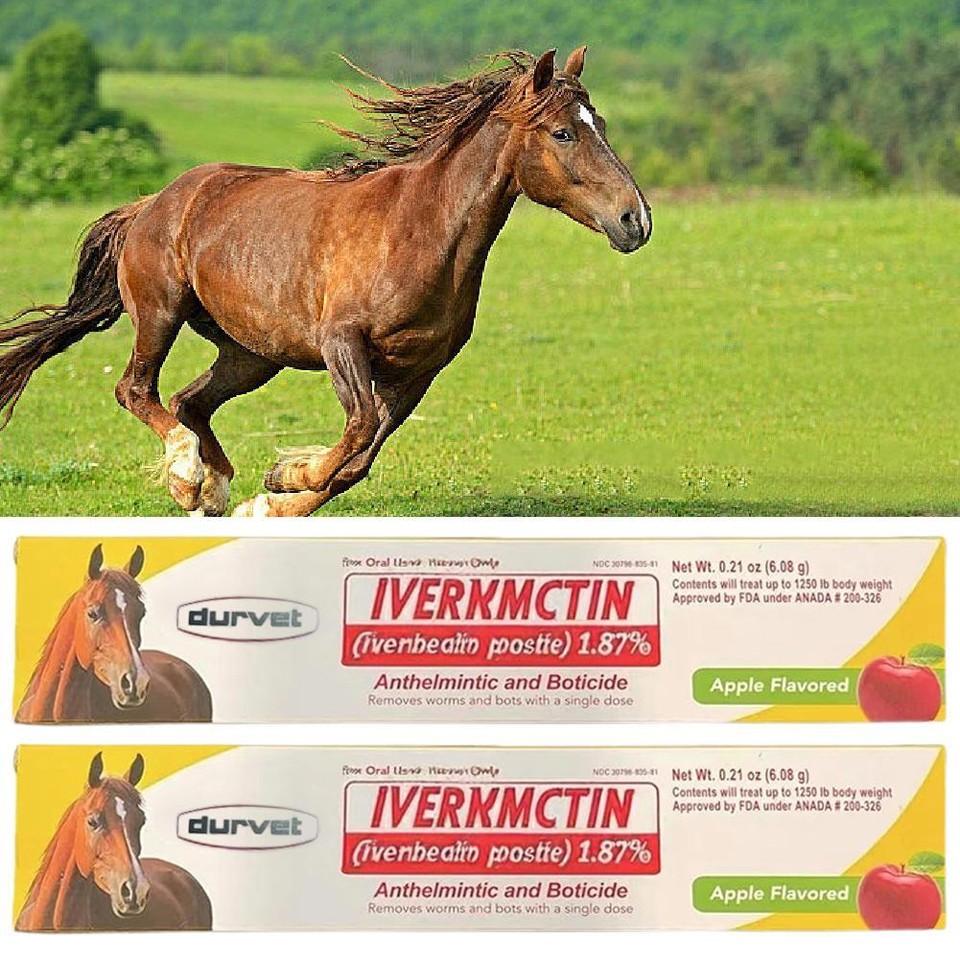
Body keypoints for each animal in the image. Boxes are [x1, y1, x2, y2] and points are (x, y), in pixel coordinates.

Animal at [0, 47, 651, 516]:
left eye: (599, 123)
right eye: (564, 132)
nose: (635, 220)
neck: (419, 230)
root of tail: (152, 204)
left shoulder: (419, 369)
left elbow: (360, 457)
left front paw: (272, 500)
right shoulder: (342, 342)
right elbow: (358, 430)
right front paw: (286, 476)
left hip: (252, 354)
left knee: (189, 402)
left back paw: (214, 491)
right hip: (161, 314)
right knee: (137, 391)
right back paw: (187, 477)